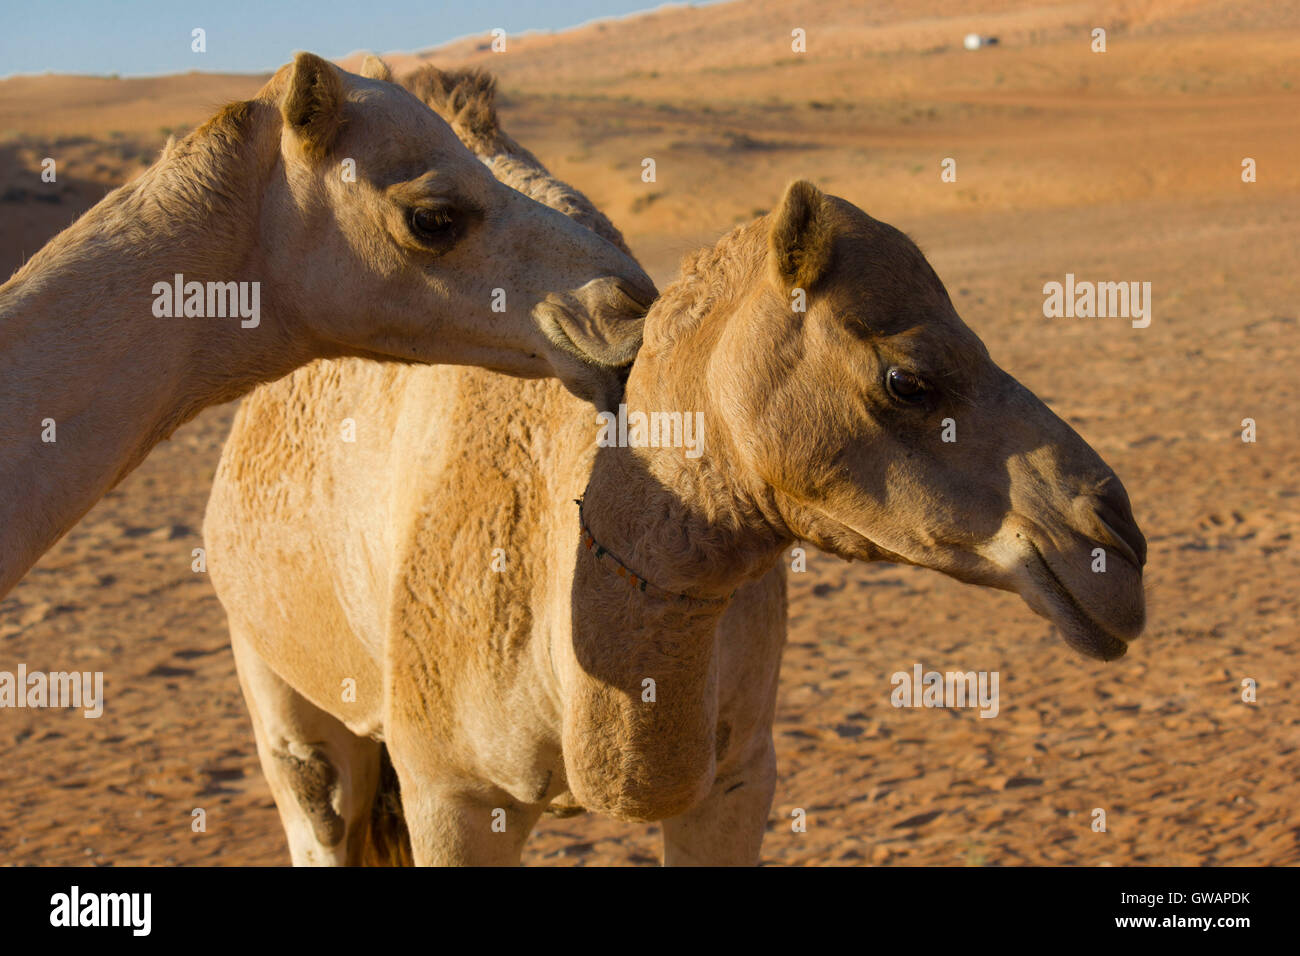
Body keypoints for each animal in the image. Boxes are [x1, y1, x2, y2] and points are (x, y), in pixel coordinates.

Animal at [204, 73, 1147, 866]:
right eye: (907, 380)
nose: (1118, 544)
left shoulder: (738, 774)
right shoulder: (453, 791)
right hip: (268, 659)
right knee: (316, 793)